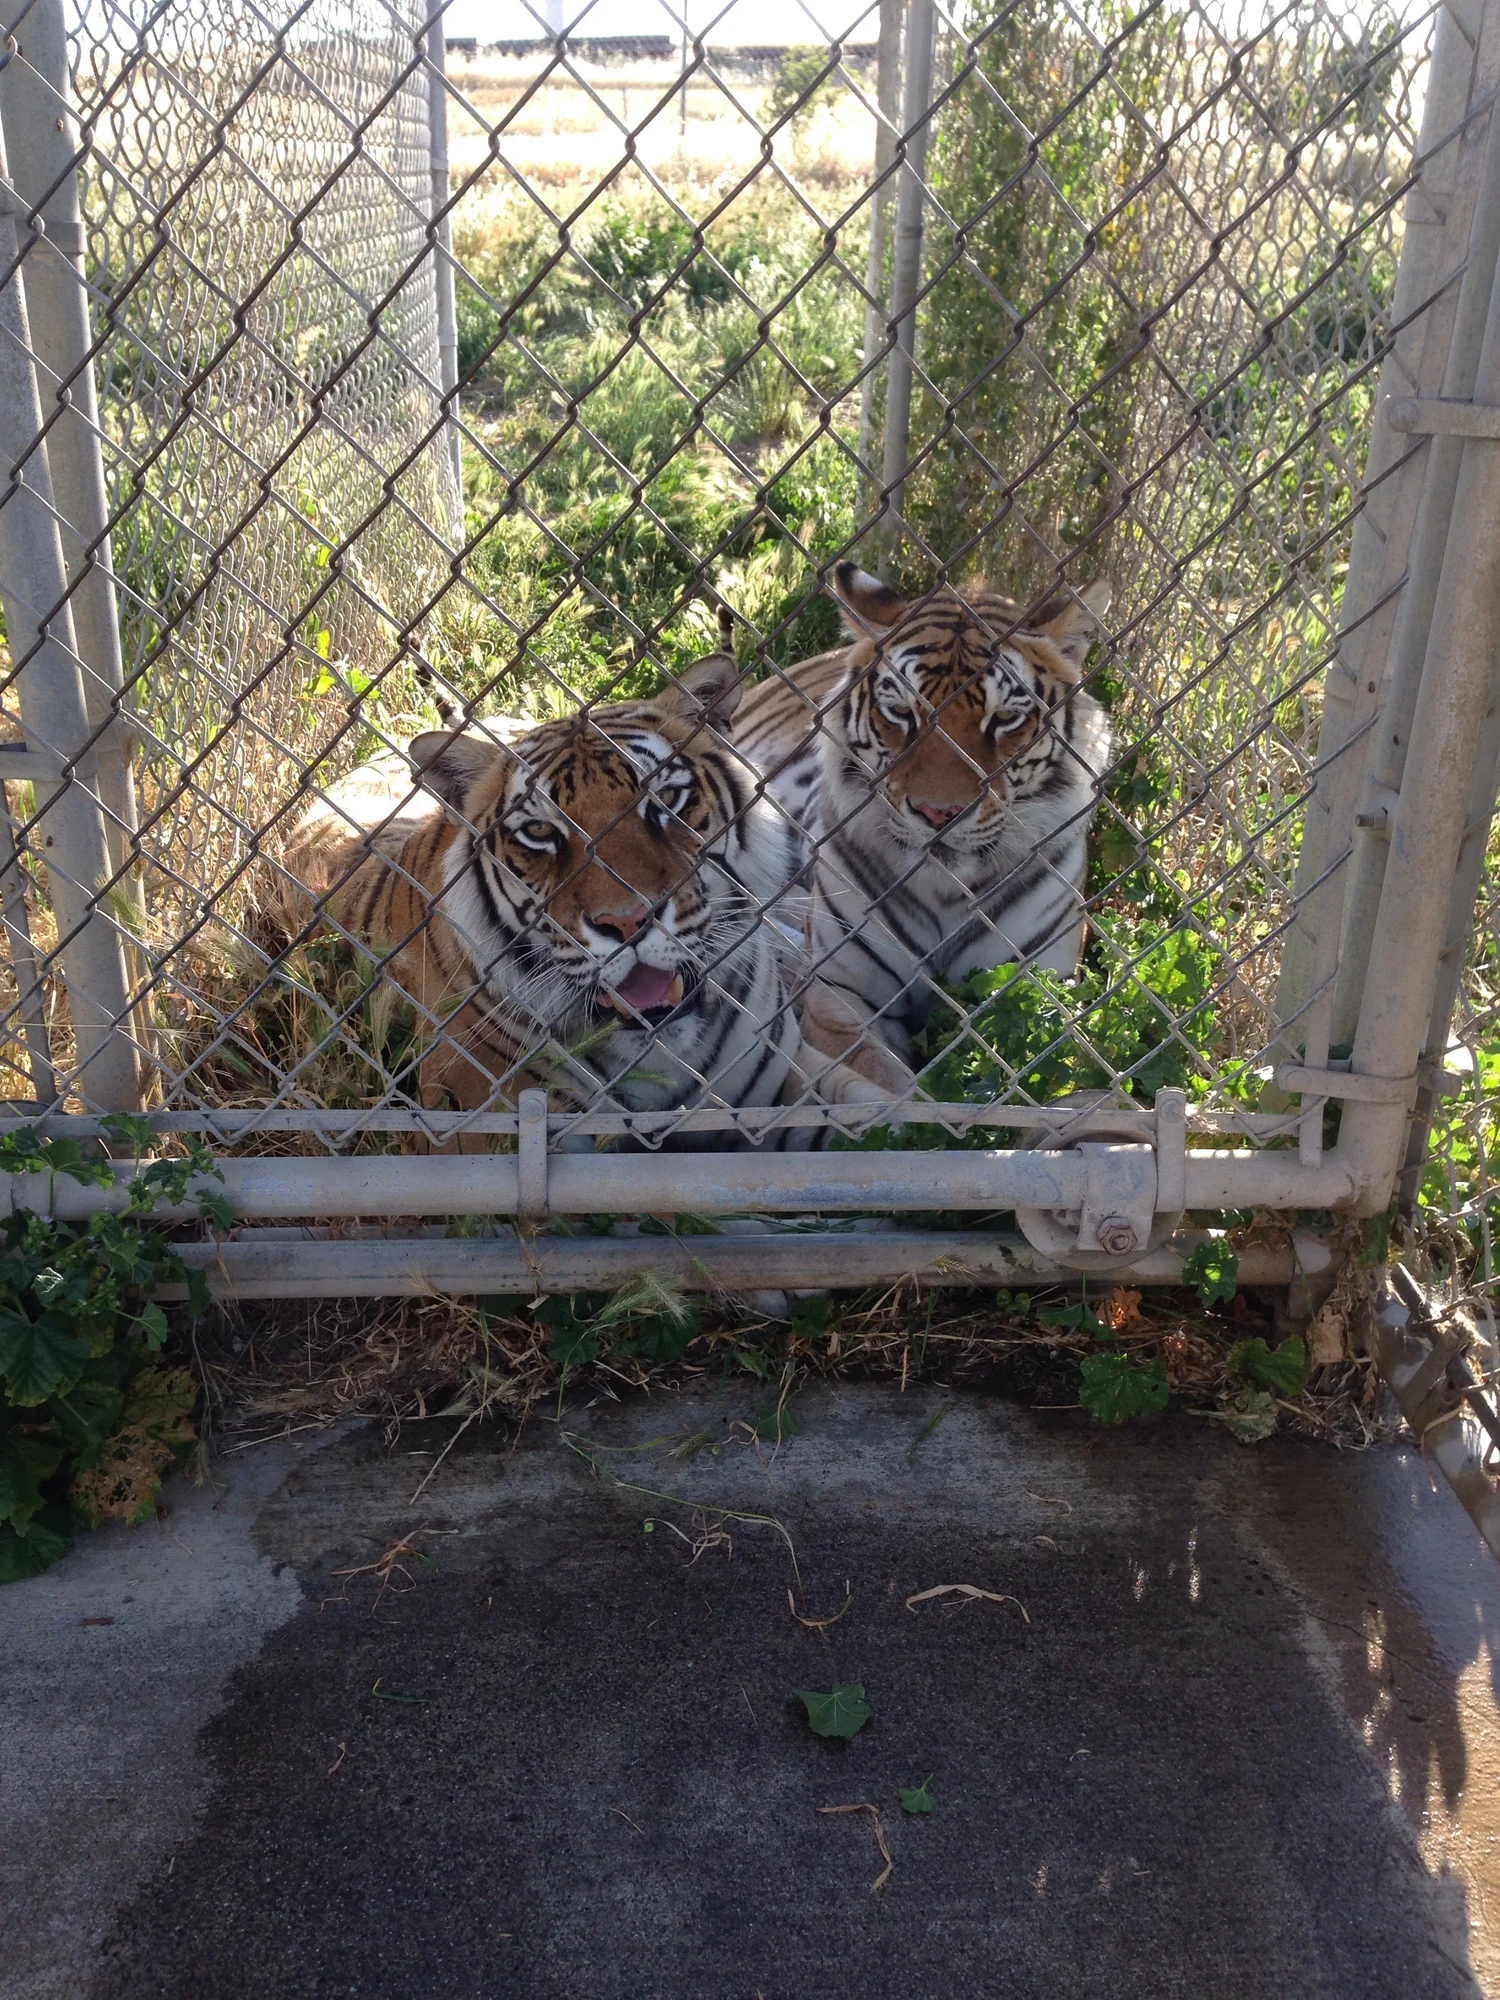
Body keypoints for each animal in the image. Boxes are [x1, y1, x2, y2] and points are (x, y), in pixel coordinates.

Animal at [733, 563, 1114, 1103]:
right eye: (901, 713)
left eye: (1004, 719)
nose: (939, 812)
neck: (946, 891)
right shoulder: (843, 998)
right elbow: (894, 1094)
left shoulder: (1041, 996)